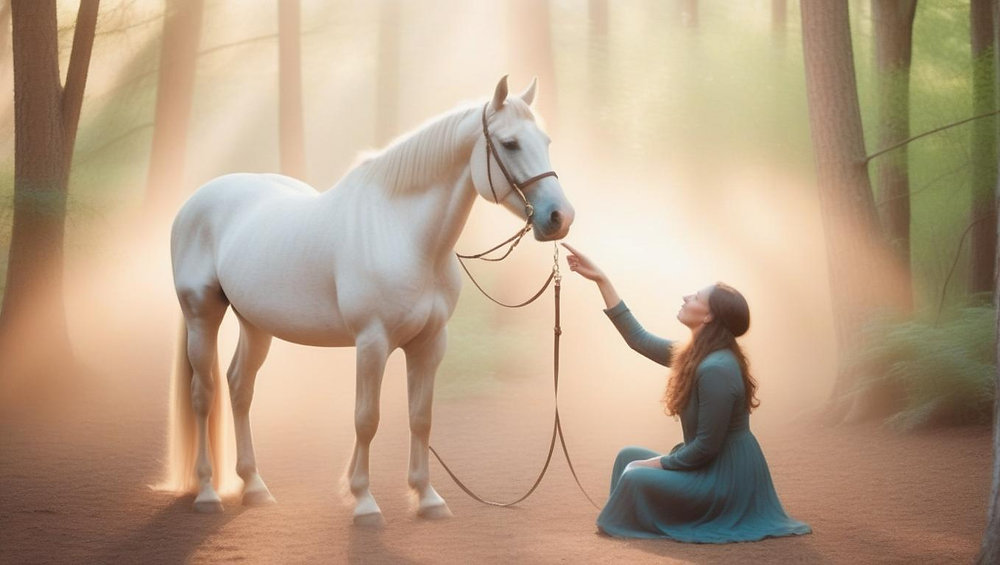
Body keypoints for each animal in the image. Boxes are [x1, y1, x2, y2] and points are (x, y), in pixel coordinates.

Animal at [164, 76, 574, 524]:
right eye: (510, 143)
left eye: (547, 140)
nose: (560, 217)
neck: (404, 234)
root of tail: (195, 202)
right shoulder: (372, 342)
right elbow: (367, 418)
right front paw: (363, 501)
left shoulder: (431, 343)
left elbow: (421, 417)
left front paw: (427, 497)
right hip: (202, 315)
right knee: (203, 395)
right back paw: (207, 492)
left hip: (255, 323)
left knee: (240, 388)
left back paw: (254, 486)